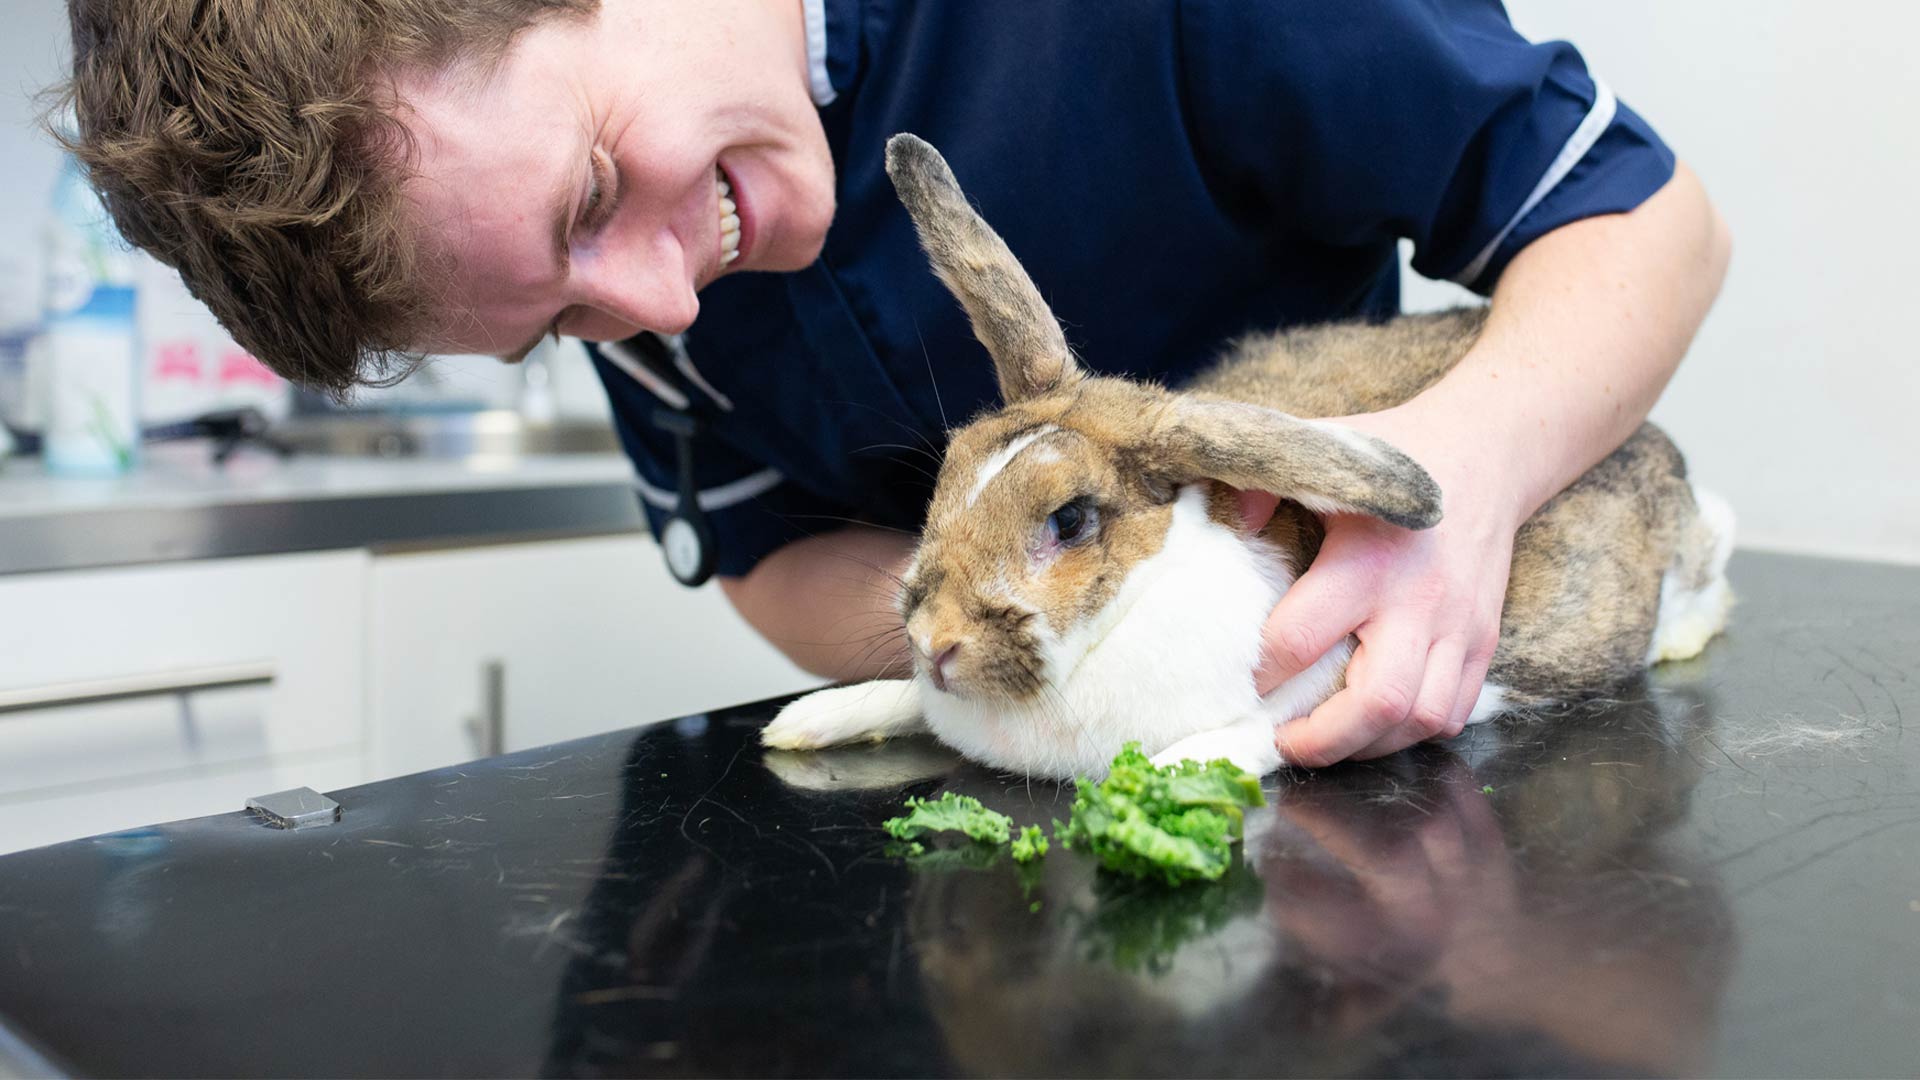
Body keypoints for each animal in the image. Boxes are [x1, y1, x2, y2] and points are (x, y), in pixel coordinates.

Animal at [760, 133, 1735, 780]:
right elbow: (898, 702)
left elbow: (1224, 748)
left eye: (1070, 520)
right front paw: (805, 722)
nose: (935, 642)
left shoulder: (1291, 710)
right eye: (948, 476)